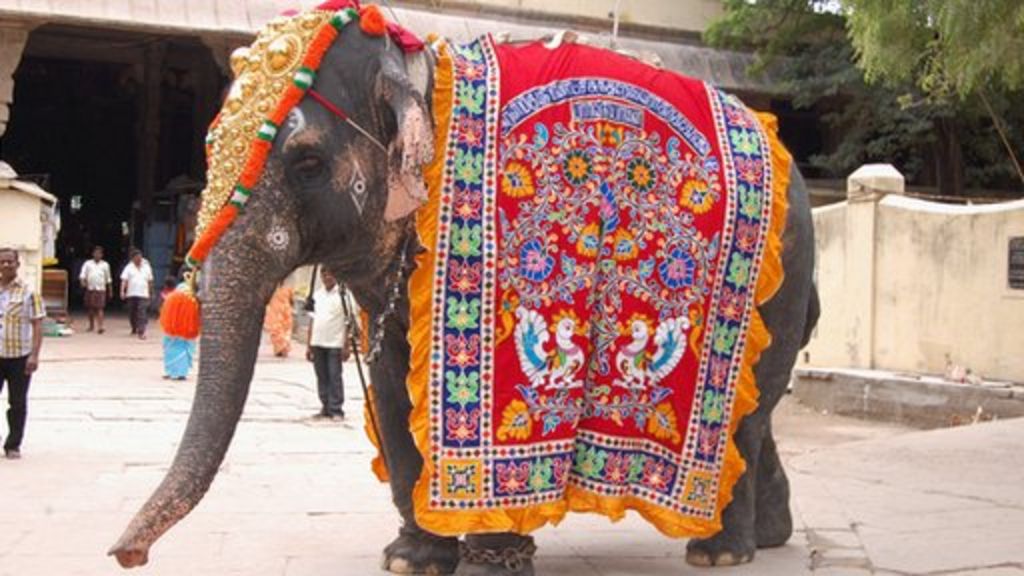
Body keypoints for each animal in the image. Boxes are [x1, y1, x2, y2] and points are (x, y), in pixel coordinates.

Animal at [110, 5, 819, 576]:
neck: (421, 64)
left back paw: (719, 551)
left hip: (780, 274)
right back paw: (769, 536)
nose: (127, 554)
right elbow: (393, 387)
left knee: (749, 413)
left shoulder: (508, 250)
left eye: (307, 162)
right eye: (210, 147)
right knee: (757, 412)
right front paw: (411, 560)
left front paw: (489, 560)